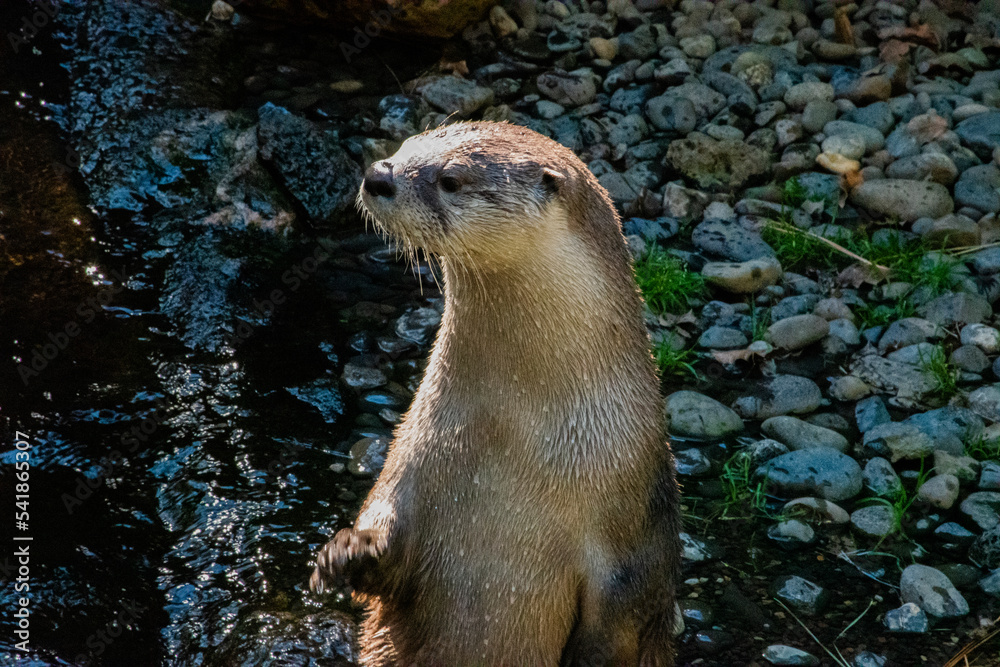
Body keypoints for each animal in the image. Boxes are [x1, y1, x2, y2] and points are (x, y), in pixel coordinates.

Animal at [311, 121, 681, 666]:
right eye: (408, 144)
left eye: (450, 180)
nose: (378, 174)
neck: (516, 433)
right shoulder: (414, 454)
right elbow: (388, 526)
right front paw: (348, 551)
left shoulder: (634, 528)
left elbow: (622, 621)